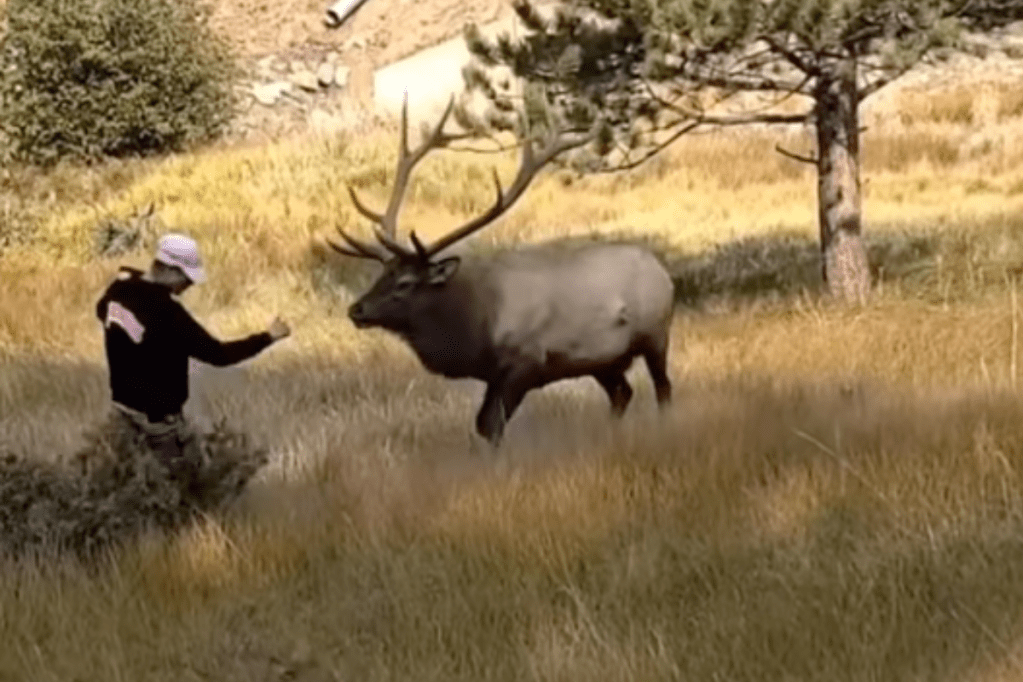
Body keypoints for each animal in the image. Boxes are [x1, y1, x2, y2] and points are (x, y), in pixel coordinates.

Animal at [328, 95, 675, 446]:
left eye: (405, 282)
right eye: (382, 274)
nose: (357, 310)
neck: (475, 323)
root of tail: (662, 270)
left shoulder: (525, 361)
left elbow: (492, 425)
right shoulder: (493, 375)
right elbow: (482, 424)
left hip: (656, 334)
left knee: (663, 388)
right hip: (604, 361)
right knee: (622, 393)